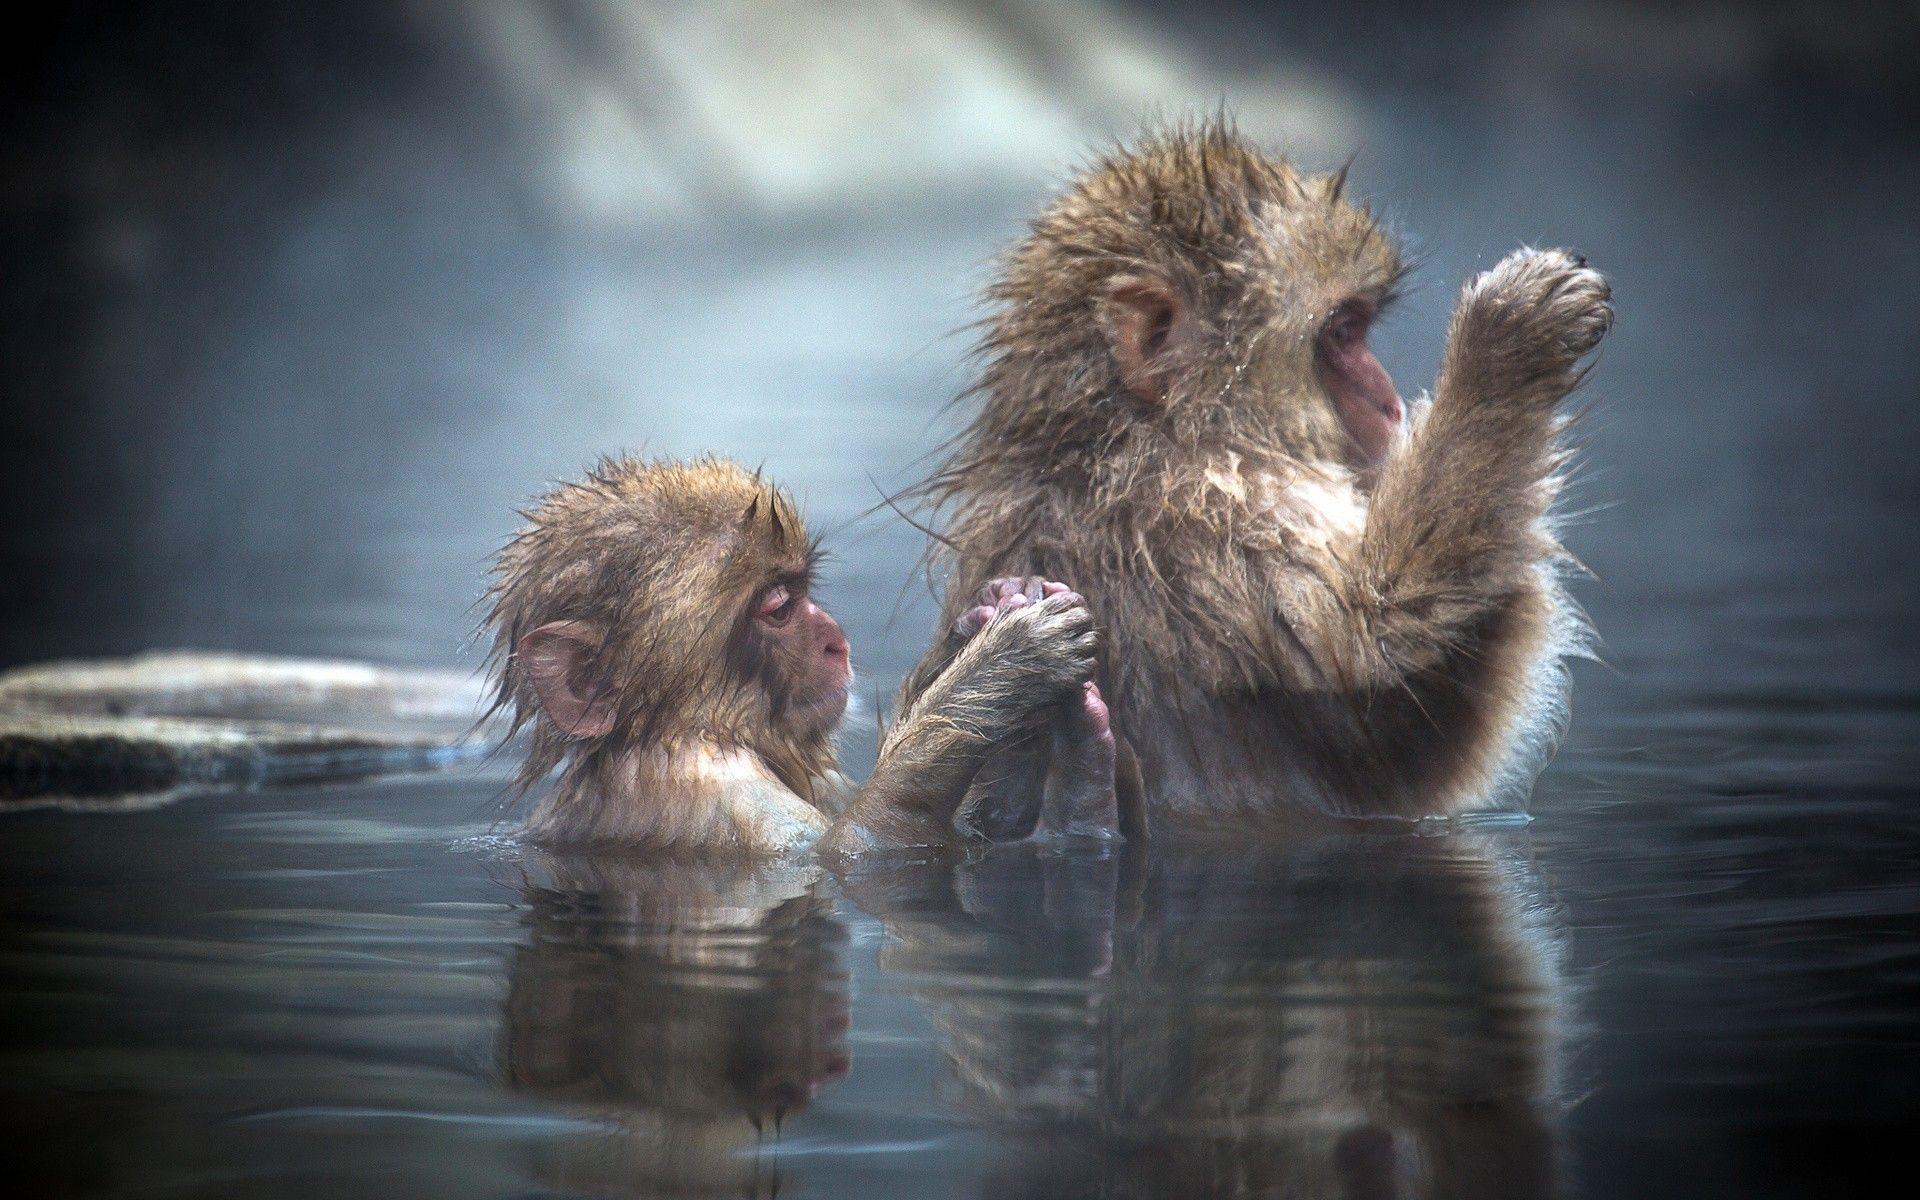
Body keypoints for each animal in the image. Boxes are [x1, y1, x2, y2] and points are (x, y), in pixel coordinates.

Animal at [483, 455, 1117, 855]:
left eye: (801, 589)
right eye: (781, 607)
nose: (836, 639)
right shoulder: (715, 791)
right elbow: (858, 850)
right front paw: (1008, 662)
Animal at [899, 120, 1612, 832]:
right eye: (1343, 331)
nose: (1387, 405)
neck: (1113, 446)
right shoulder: (1221, 520)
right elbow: (1390, 651)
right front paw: (1505, 349)